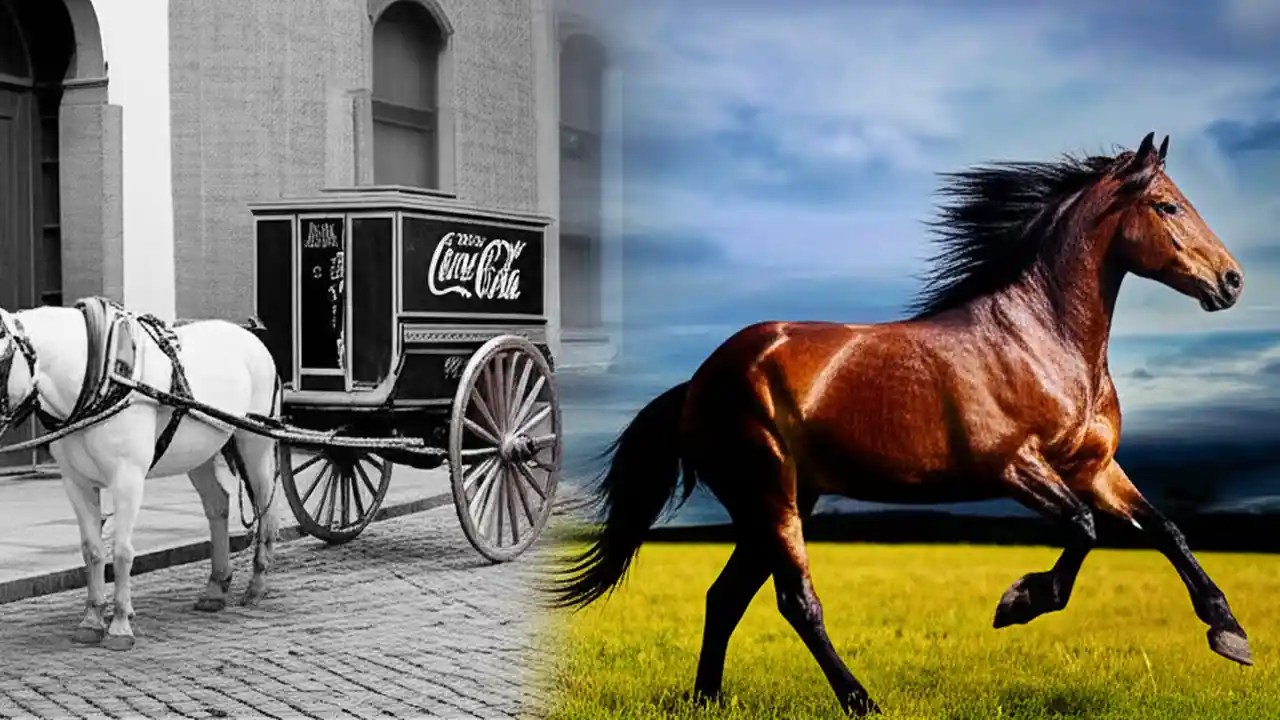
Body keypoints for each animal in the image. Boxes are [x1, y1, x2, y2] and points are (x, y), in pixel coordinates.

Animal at [0, 301, 282, 651]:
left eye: (1, 360)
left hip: (255, 443)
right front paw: (91, 621)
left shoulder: (127, 478)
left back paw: (256, 587)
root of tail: (253, 337)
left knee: (266, 511)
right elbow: (92, 550)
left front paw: (120, 626)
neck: (101, 380)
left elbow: (122, 552)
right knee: (218, 506)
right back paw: (215, 588)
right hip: (200, 454)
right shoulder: (76, 482)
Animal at [549, 132, 1249, 715]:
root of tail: (697, 382)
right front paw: (1018, 603)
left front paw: (1229, 633)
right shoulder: (1014, 466)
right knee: (795, 601)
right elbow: (1083, 529)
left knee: (726, 597)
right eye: (1167, 206)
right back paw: (860, 701)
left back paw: (707, 698)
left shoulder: (1096, 468)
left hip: (777, 502)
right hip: (770, 492)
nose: (1233, 281)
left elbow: (1166, 530)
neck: (1042, 339)